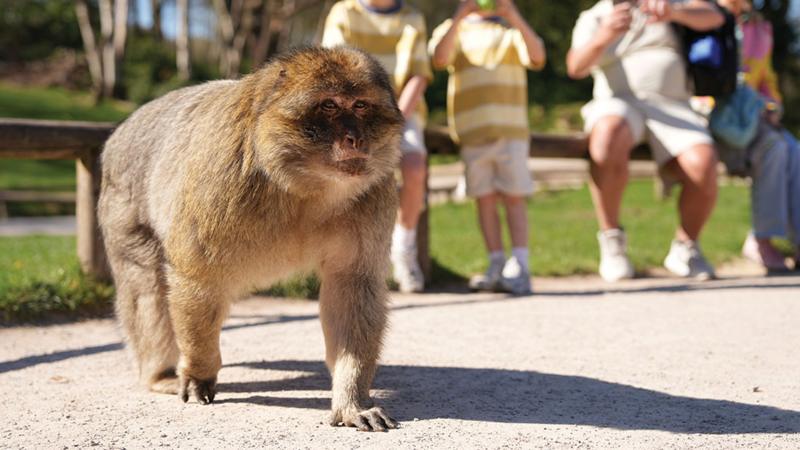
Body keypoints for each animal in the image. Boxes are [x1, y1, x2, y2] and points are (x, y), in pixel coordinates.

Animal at [97, 47, 404, 432]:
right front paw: (199, 370)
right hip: (123, 205)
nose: (356, 138)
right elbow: (198, 279)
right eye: (330, 105)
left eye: (361, 106)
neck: (303, 187)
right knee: (146, 286)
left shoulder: (374, 193)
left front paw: (353, 401)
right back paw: (161, 374)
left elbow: (353, 286)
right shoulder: (220, 180)